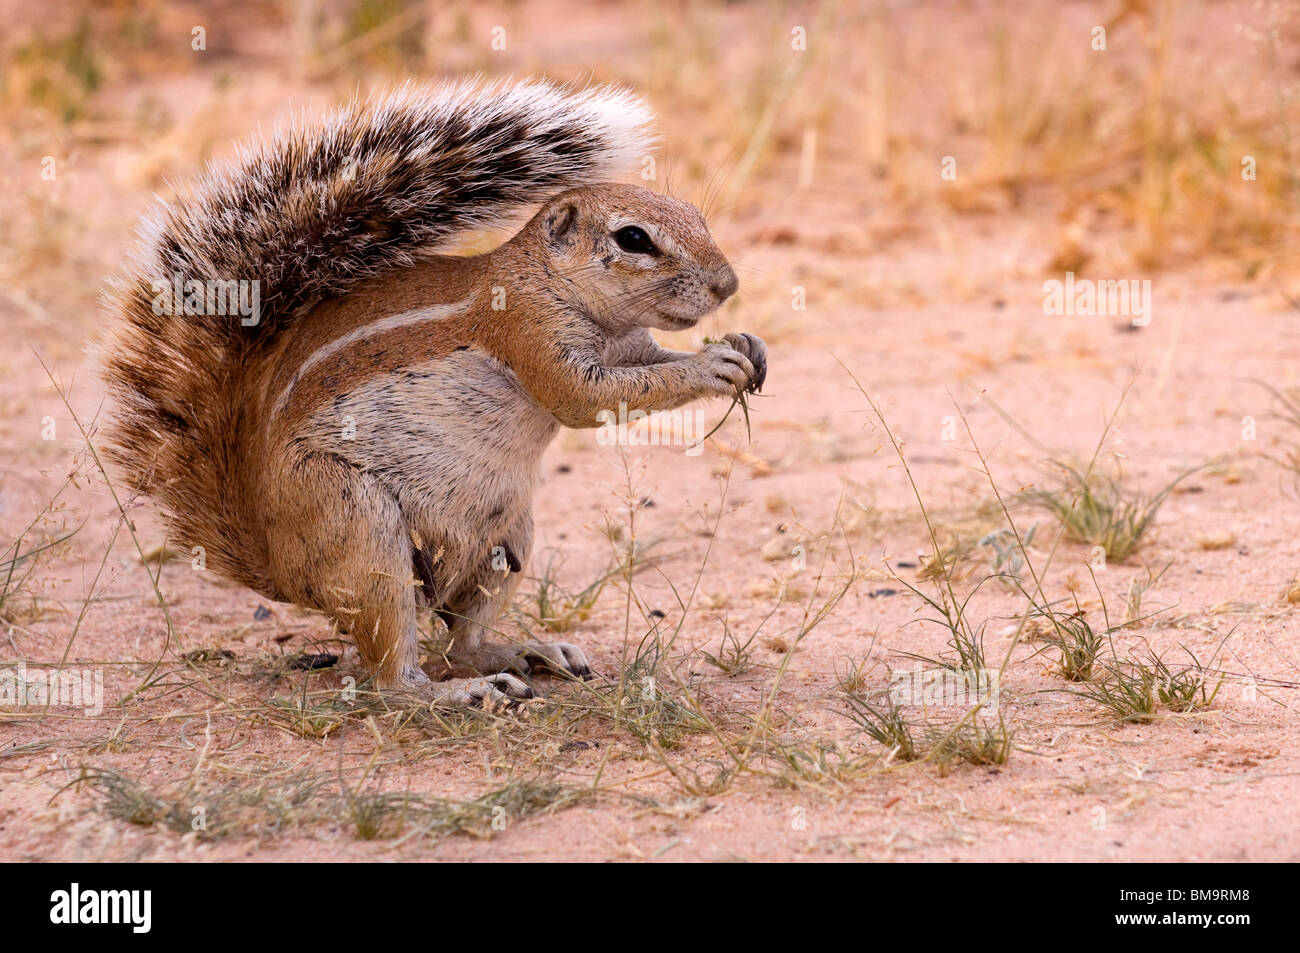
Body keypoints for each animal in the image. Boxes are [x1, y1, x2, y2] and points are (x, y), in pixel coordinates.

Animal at [98, 79, 768, 707]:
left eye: (695, 213)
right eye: (633, 239)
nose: (728, 285)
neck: (550, 283)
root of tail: (276, 563)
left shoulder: (631, 345)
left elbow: (646, 365)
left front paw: (745, 344)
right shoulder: (530, 333)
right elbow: (586, 397)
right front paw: (711, 367)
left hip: (509, 534)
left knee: (462, 640)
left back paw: (527, 652)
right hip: (361, 530)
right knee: (394, 674)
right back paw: (457, 693)